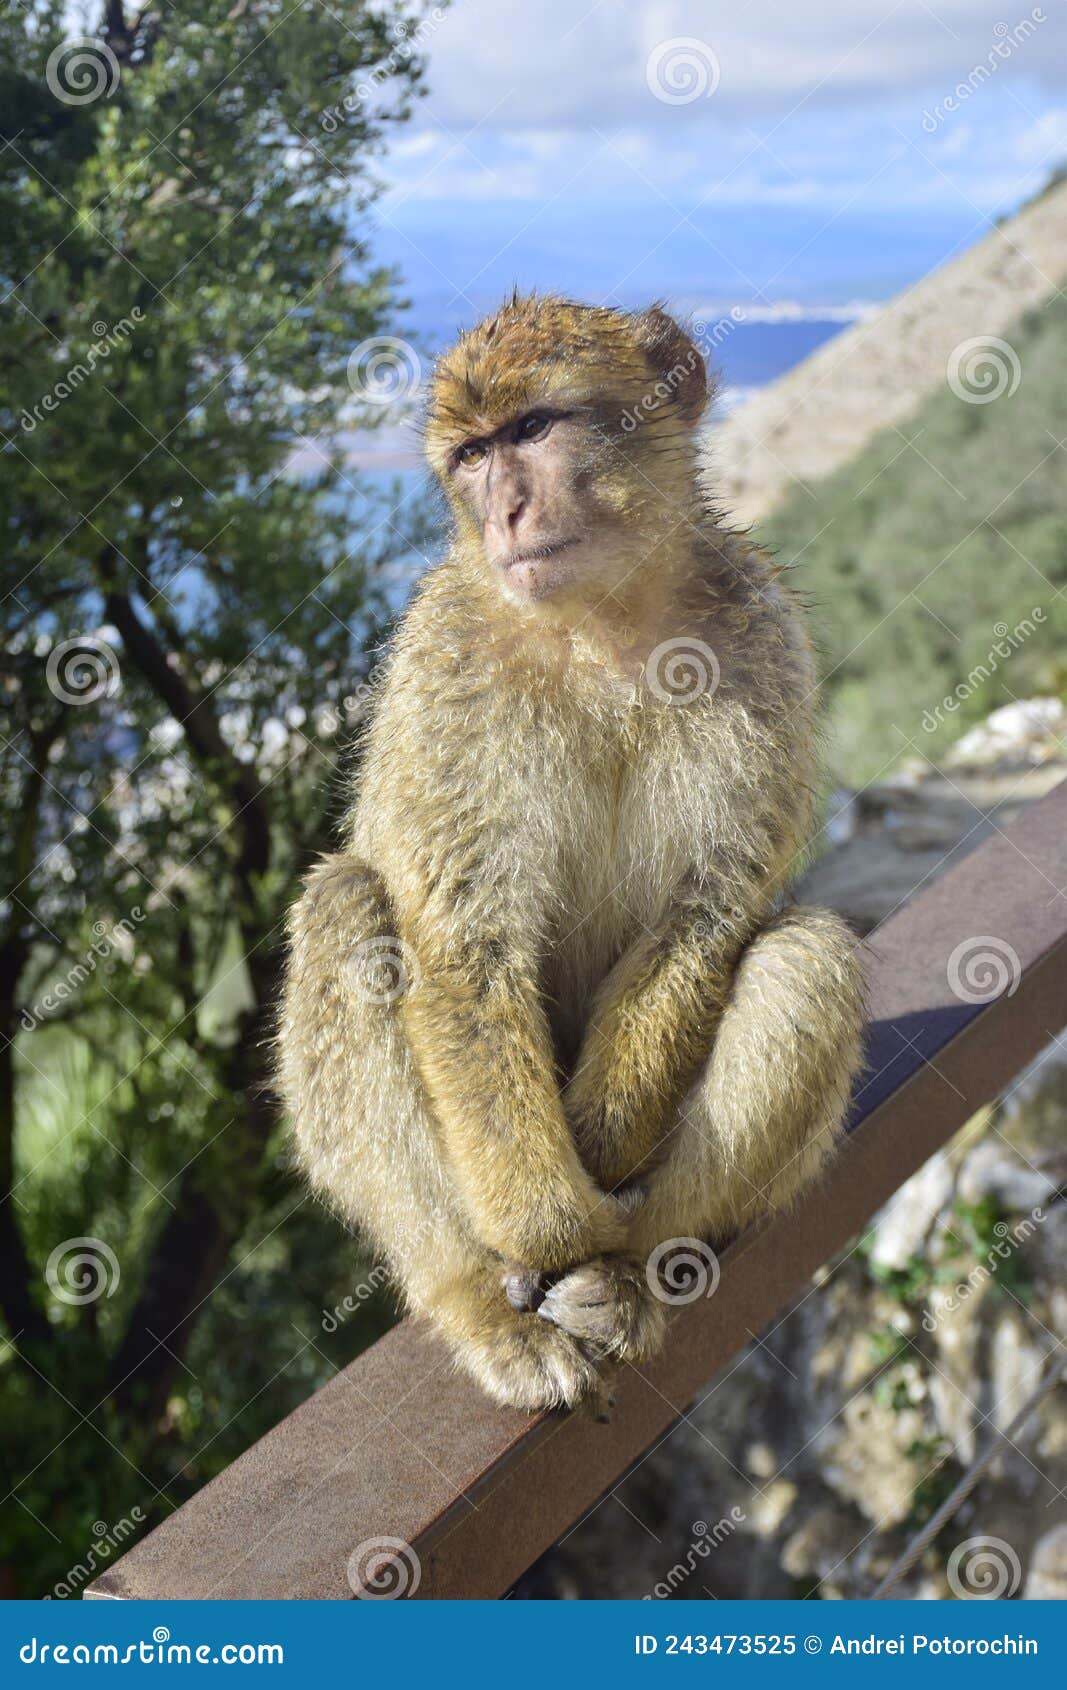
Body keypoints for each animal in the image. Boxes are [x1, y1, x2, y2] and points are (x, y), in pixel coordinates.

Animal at [277, 293, 865, 1415]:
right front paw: (551, 1223)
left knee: (807, 955)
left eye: (533, 429)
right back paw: (482, 1298)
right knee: (347, 908)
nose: (503, 511)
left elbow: (704, 909)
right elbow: (463, 953)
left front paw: (594, 1166)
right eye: (471, 456)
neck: (604, 625)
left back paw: (628, 1265)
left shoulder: (762, 640)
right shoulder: (448, 664)